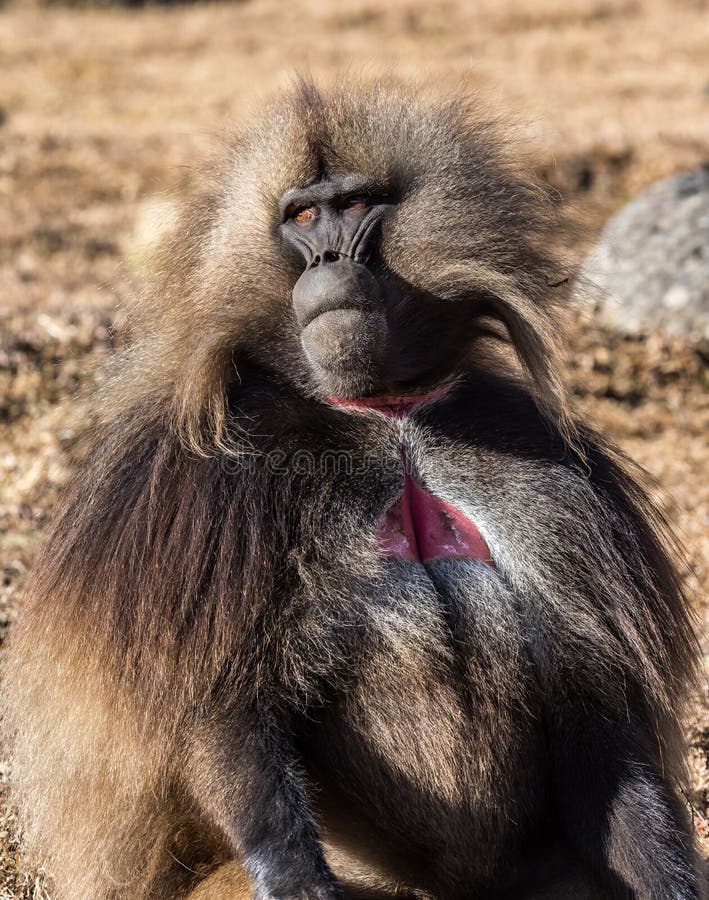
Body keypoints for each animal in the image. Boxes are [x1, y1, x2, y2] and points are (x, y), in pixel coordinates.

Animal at [1, 78, 705, 900]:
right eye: (303, 217)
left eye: (357, 204)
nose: (332, 259)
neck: (384, 415)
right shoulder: (207, 482)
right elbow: (218, 711)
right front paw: (293, 872)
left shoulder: (537, 457)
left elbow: (592, 709)